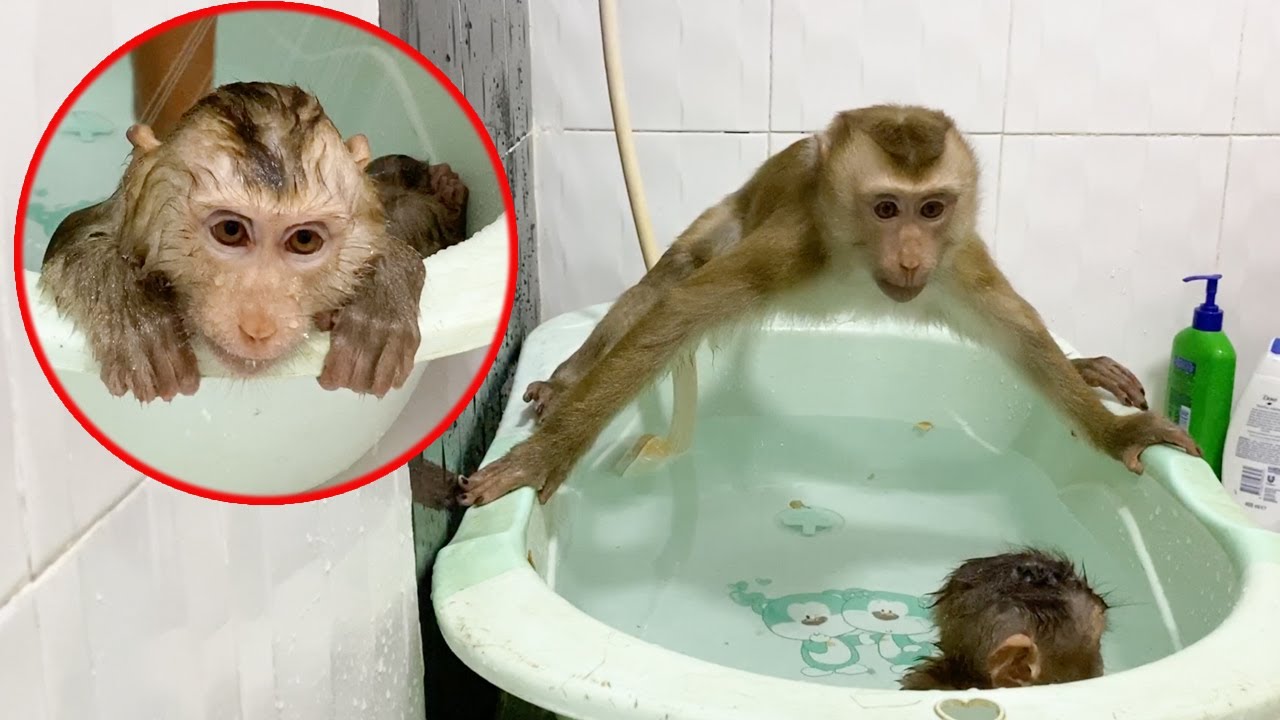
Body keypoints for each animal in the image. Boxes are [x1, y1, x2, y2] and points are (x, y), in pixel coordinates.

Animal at [458, 104, 1199, 507]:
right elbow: (677, 314)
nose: (910, 256)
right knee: (672, 276)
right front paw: (547, 455)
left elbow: (1021, 336)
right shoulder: (793, 245)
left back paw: (1090, 367)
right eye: (886, 208)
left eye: (932, 208)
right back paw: (569, 379)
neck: (855, 263)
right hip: (734, 215)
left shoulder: (956, 261)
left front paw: (1115, 432)